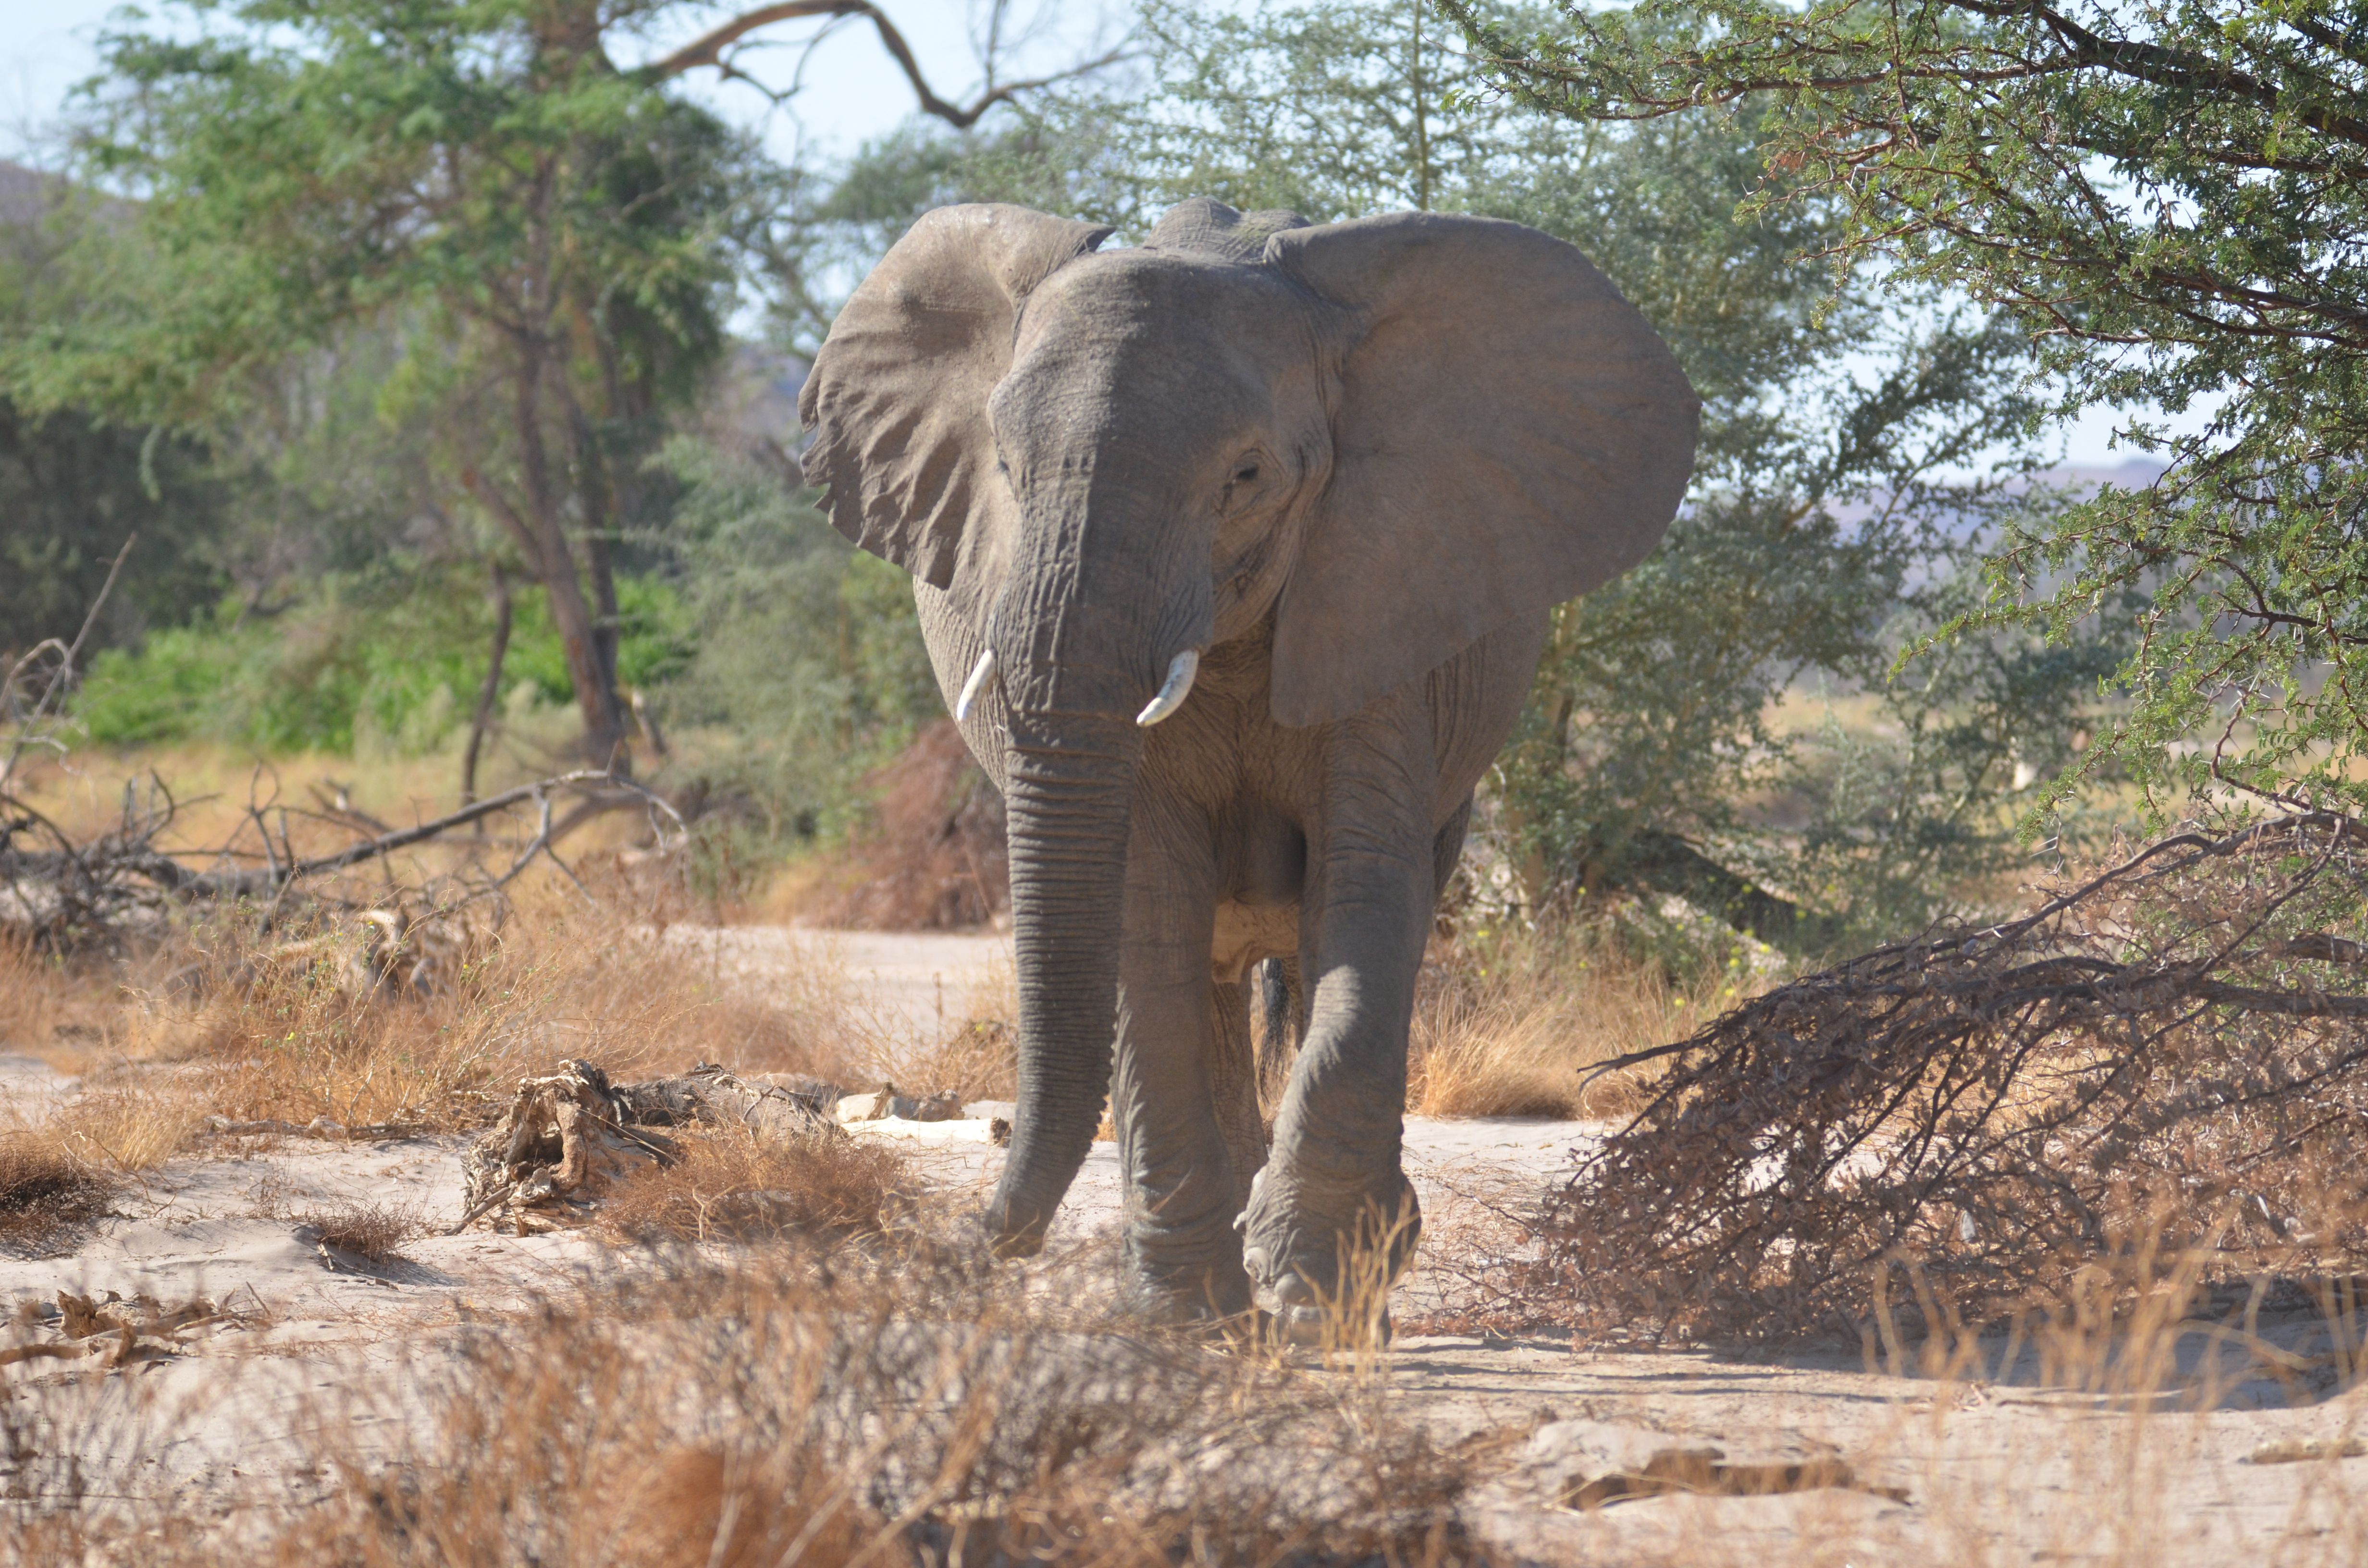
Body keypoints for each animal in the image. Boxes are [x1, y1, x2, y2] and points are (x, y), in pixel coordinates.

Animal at [798, 196, 1697, 1340]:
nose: (965, 1244)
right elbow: (1146, 918)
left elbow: (1365, 904)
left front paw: (1314, 1293)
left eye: (1247, 477)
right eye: (1001, 466)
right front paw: (1191, 1319)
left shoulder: (1380, 605)